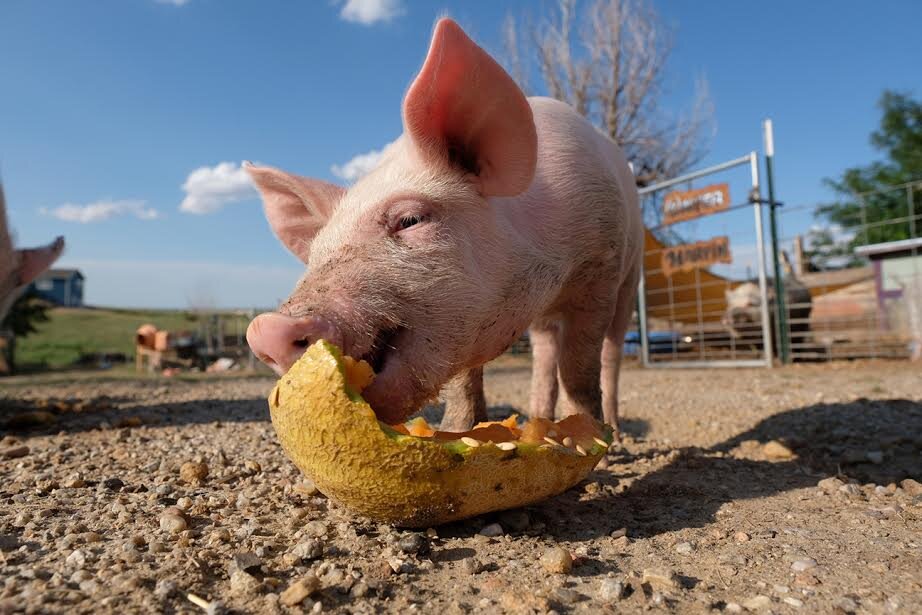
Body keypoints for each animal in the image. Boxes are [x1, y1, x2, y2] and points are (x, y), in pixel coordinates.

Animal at [245, 19, 643, 436]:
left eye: (410, 220)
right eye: (317, 250)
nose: (266, 328)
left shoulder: (601, 265)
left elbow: (580, 367)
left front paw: (590, 436)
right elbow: (464, 377)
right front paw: (458, 430)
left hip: (631, 276)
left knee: (611, 350)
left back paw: (612, 428)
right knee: (546, 349)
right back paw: (539, 418)